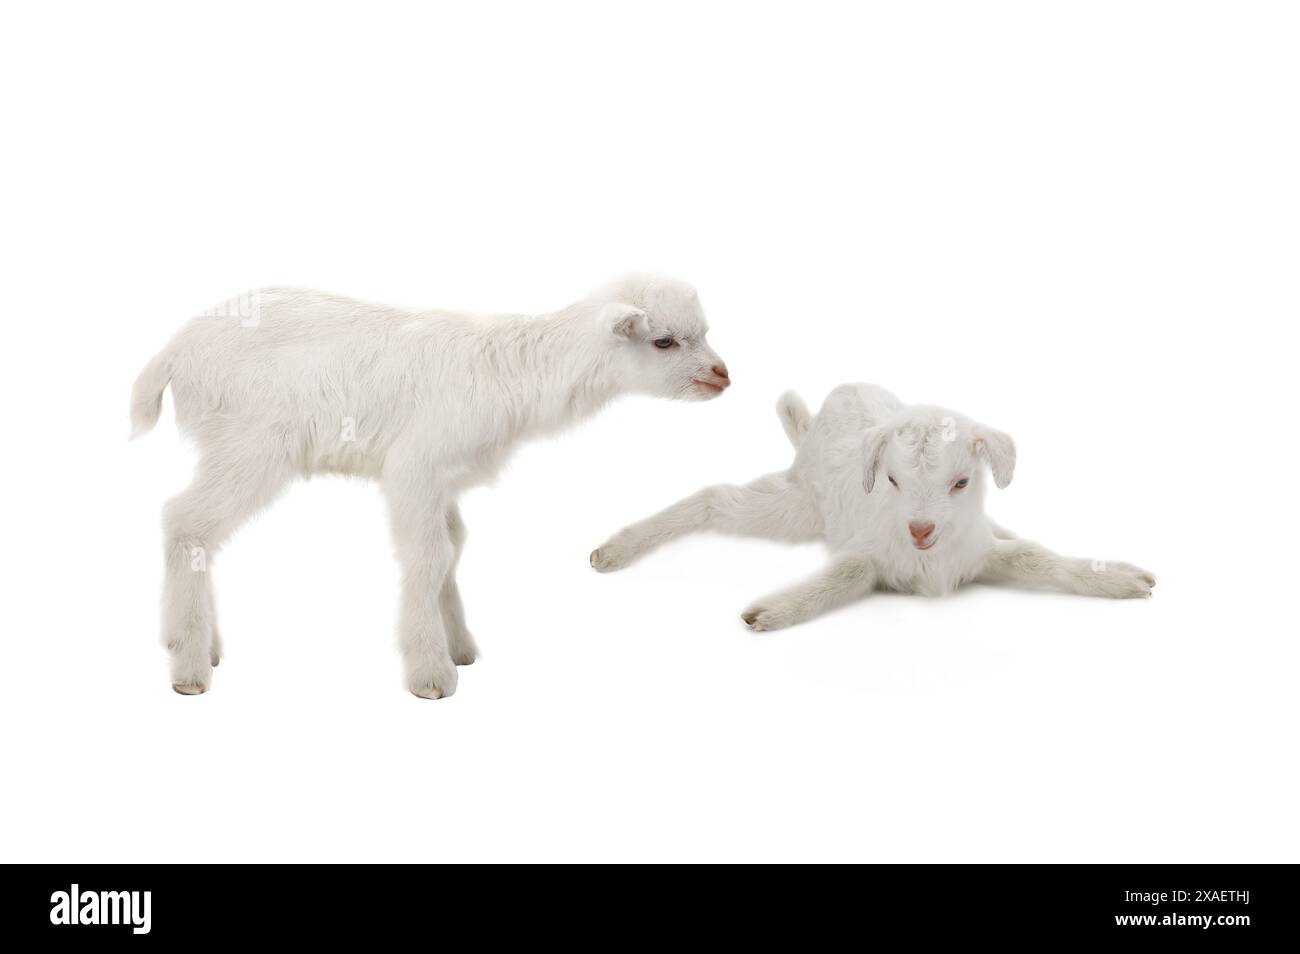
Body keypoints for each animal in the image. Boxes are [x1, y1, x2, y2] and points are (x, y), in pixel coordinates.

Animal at [132, 275, 730, 697]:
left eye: (703, 333)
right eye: (664, 341)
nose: (723, 376)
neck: (514, 371)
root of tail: (172, 352)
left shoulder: (444, 481)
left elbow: (452, 549)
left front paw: (459, 645)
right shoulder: (414, 467)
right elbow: (428, 556)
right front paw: (431, 672)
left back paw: (190, 641)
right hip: (253, 445)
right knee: (185, 520)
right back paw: (189, 666)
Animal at [591, 383, 1154, 629]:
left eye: (962, 482)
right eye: (891, 479)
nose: (920, 530)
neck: (932, 559)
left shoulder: (973, 548)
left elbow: (1029, 554)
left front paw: (1121, 578)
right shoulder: (871, 546)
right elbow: (850, 570)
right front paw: (771, 611)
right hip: (800, 502)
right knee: (715, 501)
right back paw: (615, 549)